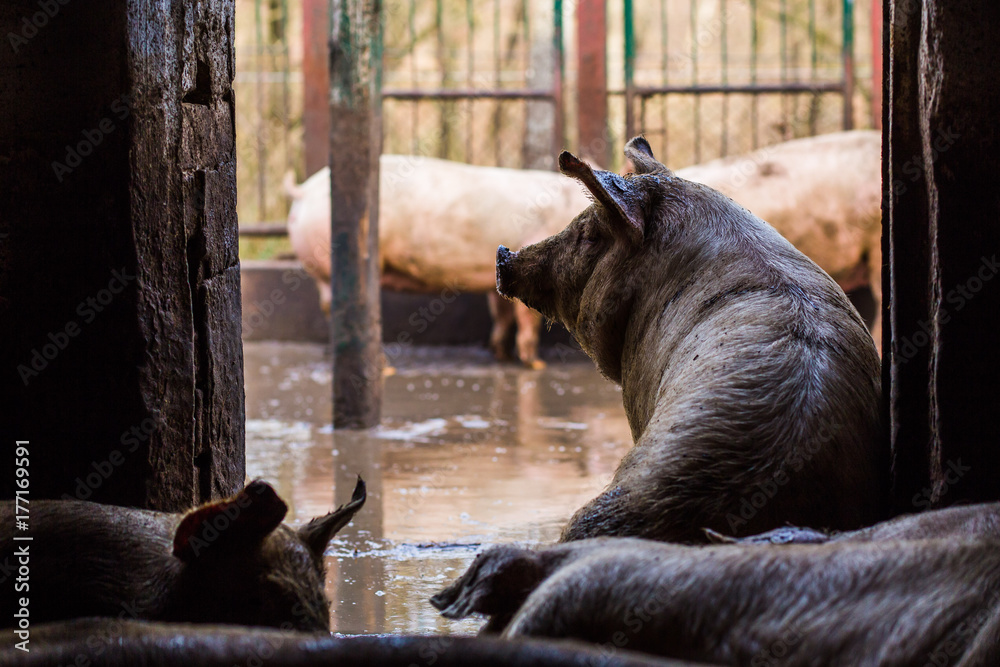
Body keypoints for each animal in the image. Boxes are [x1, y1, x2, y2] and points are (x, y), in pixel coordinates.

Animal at [284, 155, 591, 369]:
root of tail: (303, 191)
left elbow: (501, 313)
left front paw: (501, 356)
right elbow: (527, 317)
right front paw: (535, 364)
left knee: (327, 306)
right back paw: (384, 368)